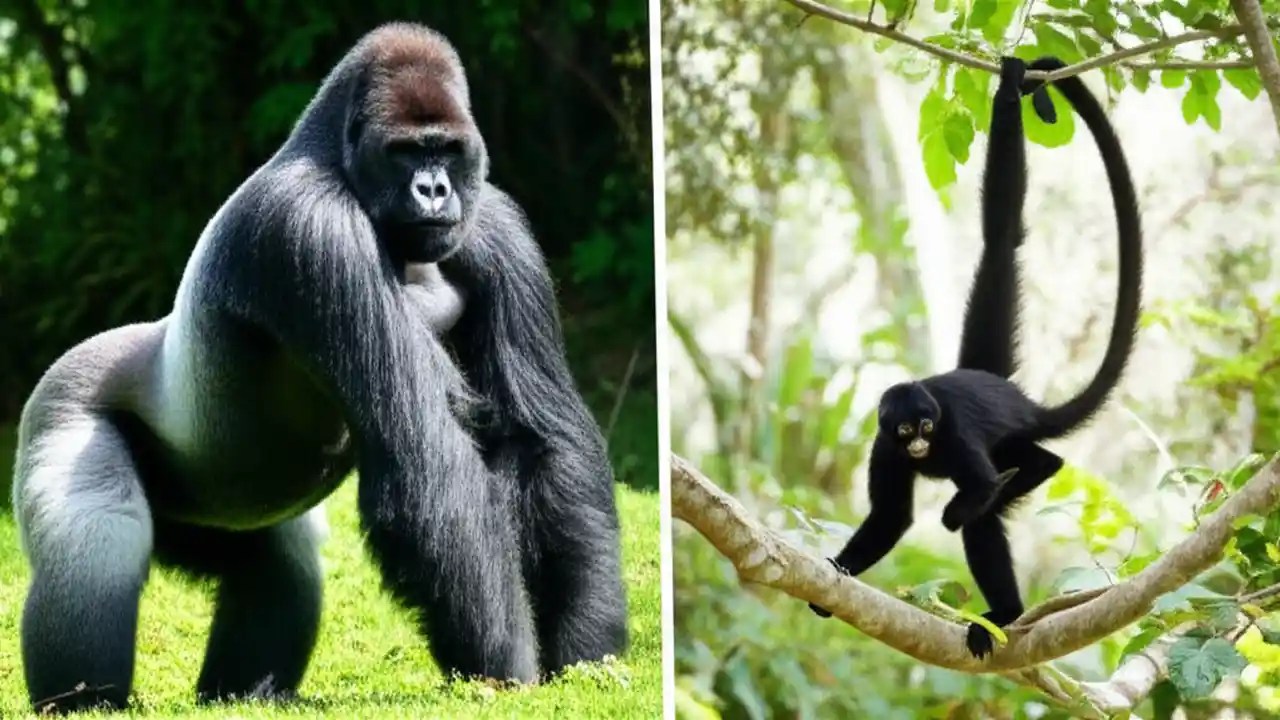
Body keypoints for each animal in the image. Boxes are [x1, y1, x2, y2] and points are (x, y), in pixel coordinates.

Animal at [11, 23, 627, 713]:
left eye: (445, 150)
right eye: (406, 153)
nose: (434, 190)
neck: (337, 159)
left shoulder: (497, 225)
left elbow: (540, 437)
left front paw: (586, 656)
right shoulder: (312, 224)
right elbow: (425, 461)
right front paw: (503, 672)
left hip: (213, 513)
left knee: (282, 563)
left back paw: (245, 693)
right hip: (64, 400)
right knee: (99, 548)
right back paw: (82, 700)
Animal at [809, 56, 1142, 660]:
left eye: (927, 425)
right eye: (905, 431)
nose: (920, 443)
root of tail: (1011, 394)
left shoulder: (958, 434)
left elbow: (978, 495)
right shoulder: (882, 450)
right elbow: (891, 517)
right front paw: (837, 574)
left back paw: (1003, 612)